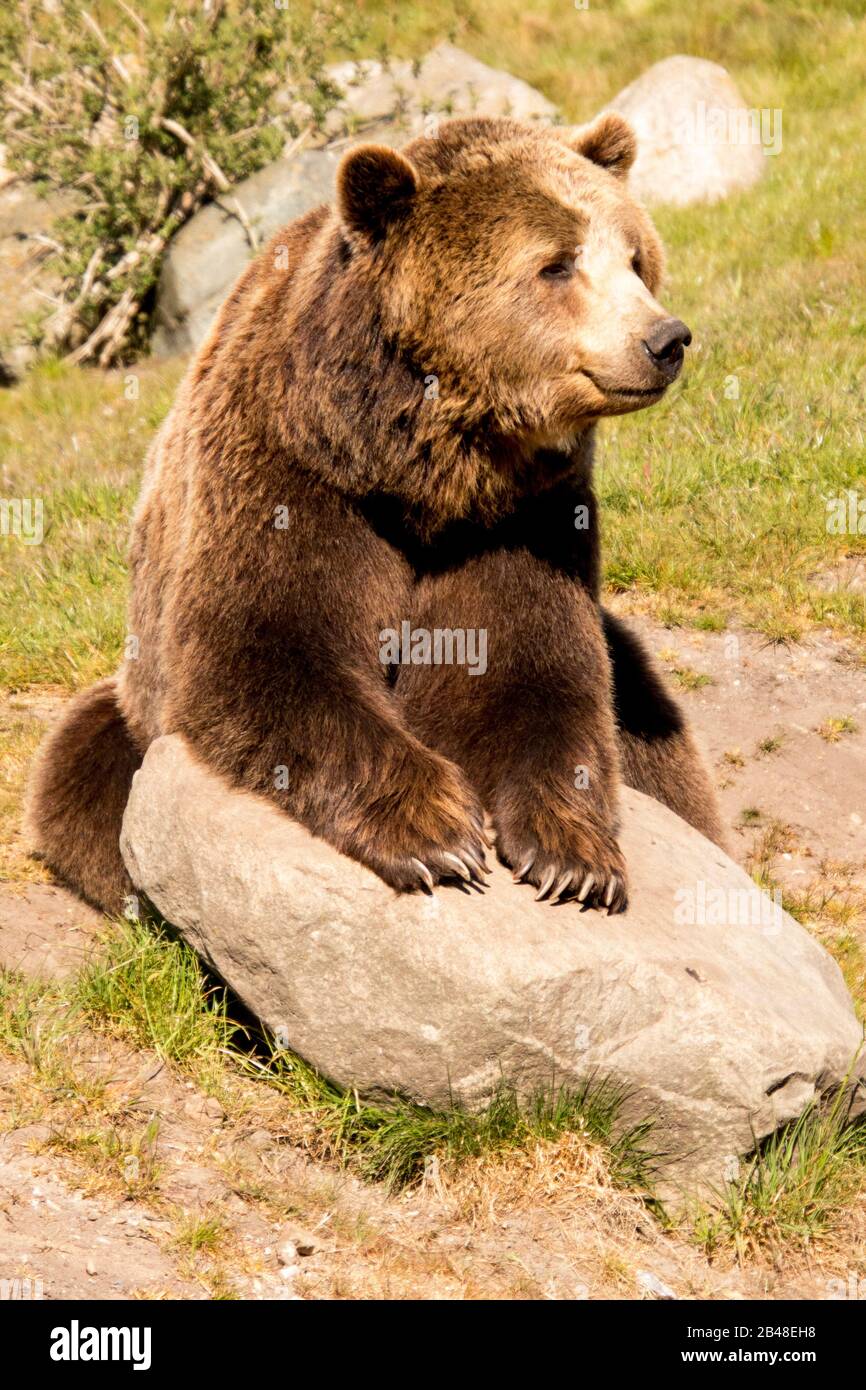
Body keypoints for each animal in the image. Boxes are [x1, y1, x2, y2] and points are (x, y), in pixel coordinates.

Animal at [26, 112, 726, 918]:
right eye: (557, 265)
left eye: (635, 257)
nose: (665, 339)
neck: (421, 465)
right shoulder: (290, 473)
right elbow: (268, 648)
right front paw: (434, 828)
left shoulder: (524, 518)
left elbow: (533, 671)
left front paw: (571, 855)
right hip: (134, 708)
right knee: (84, 770)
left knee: (653, 731)